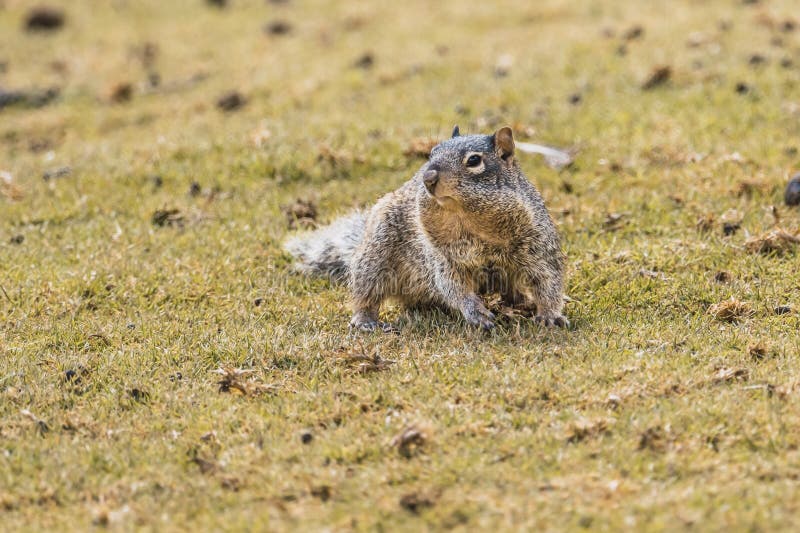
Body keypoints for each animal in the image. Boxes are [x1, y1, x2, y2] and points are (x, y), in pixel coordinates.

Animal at [285, 126, 568, 332]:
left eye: (474, 160)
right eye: (432, 152)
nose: (427, 177)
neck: (470, 220)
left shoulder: (537, 244)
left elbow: (548, 279)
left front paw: (550, 315)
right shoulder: (442, 257)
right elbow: (454, 286)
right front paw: (476, 313)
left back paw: (520, 301)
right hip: (375, 256)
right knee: (367, 292)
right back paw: (366, 320)